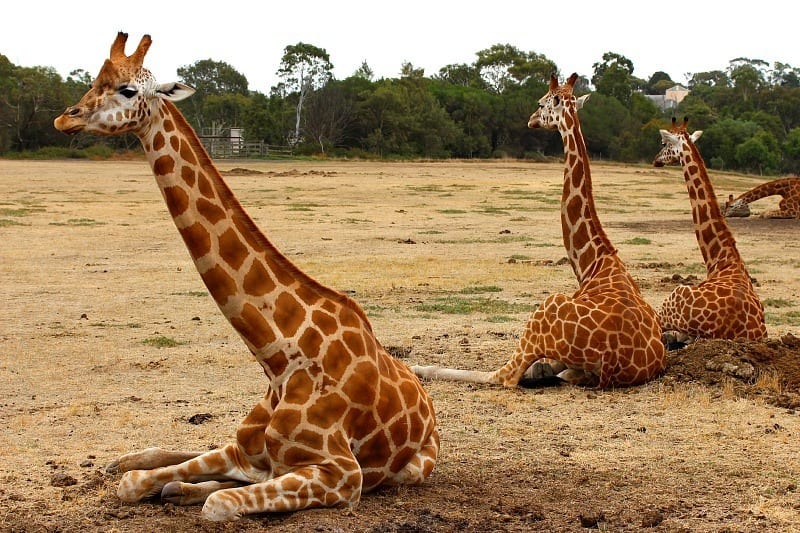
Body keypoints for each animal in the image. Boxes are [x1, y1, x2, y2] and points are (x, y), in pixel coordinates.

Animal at [51, 32, 438, 520]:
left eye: (127, 89)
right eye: (93, 80)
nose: (66, 117)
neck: (278, 359)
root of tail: (431, 408)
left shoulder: (342, 475)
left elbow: (216, 502)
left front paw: (188, 491)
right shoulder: (241, 449)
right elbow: (133, 482)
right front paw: (151, 479)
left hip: (409, 469)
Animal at [410, 75, 664, 388]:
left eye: (541, 103)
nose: (531, 119)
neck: (594, 262)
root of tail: (613, 364)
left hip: (544, 308)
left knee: (502, 376)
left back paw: (417, 366)